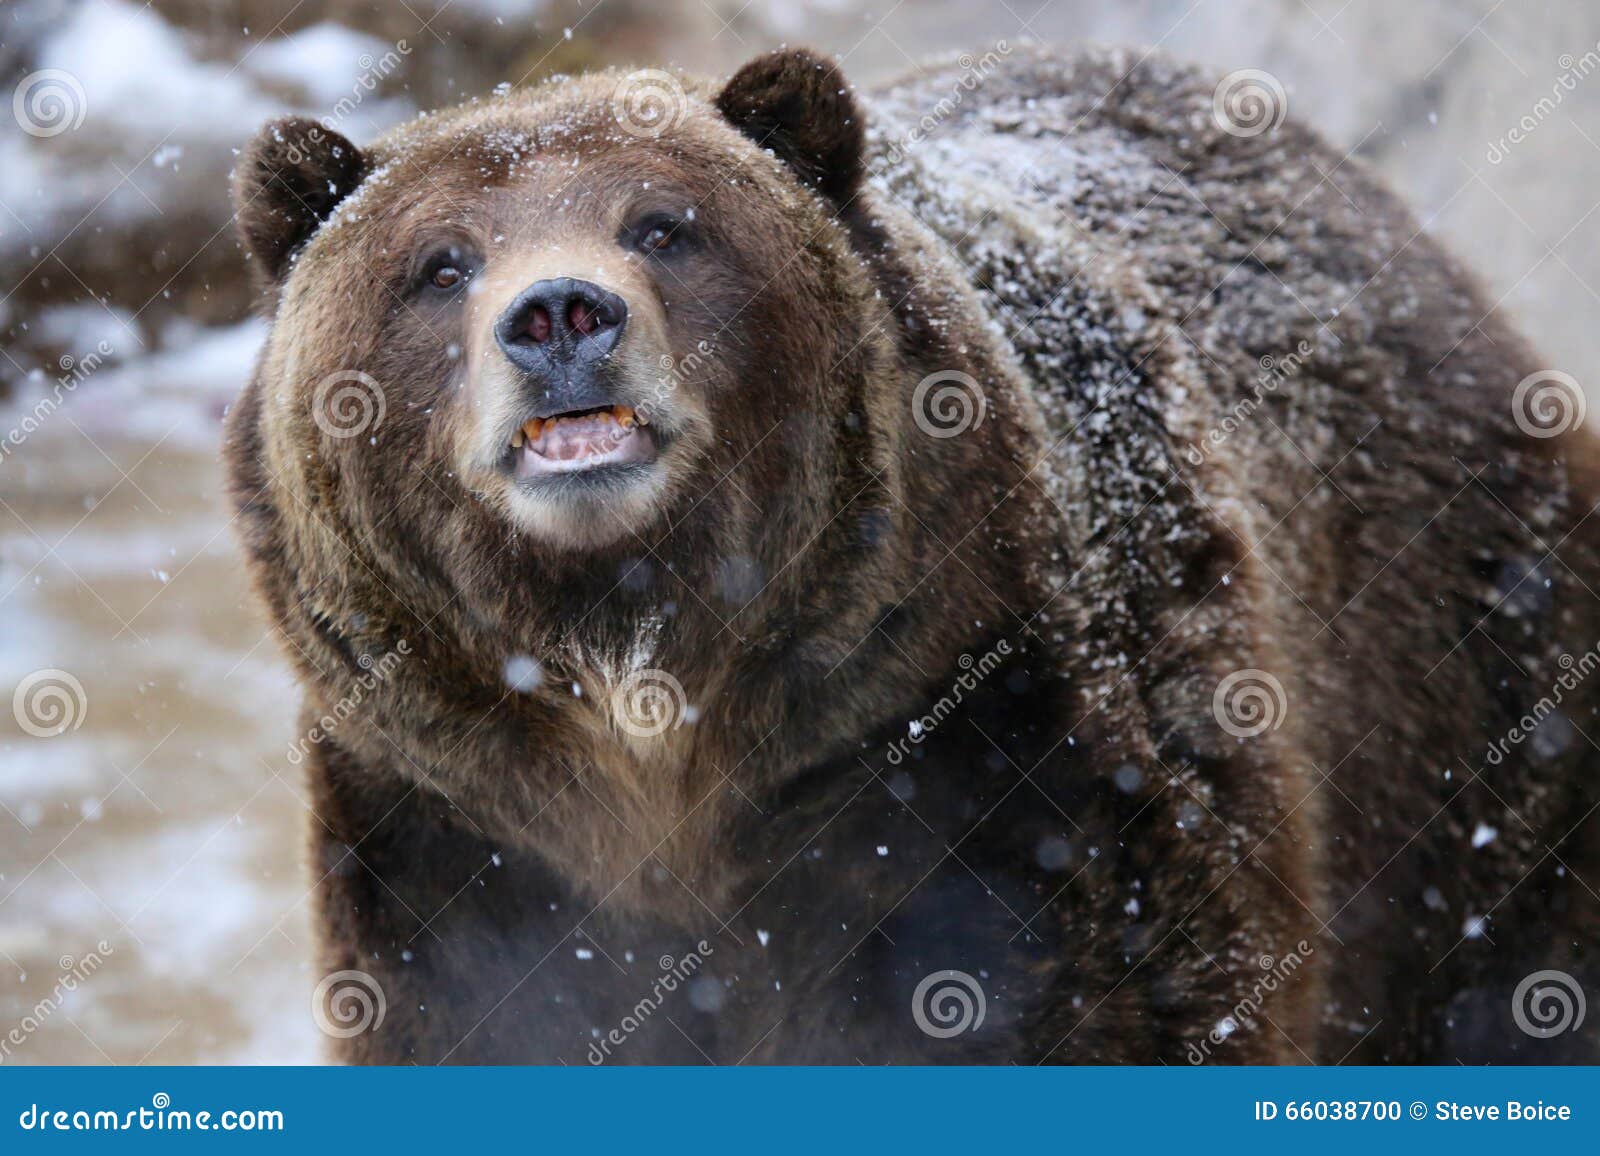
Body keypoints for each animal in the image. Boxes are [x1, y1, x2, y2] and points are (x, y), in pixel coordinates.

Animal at [224, 43, 1600, 1064]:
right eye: (439, 262)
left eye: (664, 225)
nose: (560, 315)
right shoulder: (454, 843)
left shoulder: (983, 765)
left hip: (1469, 692)